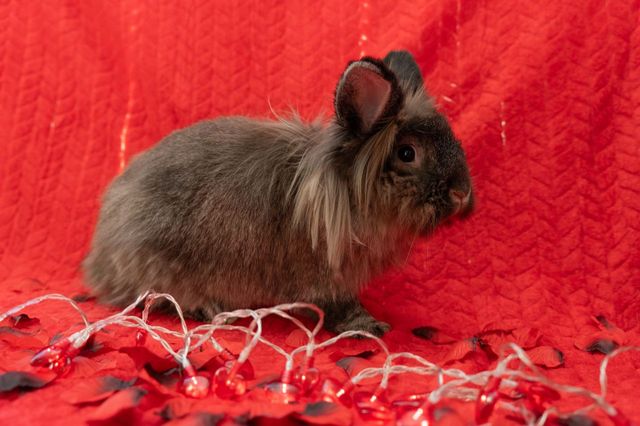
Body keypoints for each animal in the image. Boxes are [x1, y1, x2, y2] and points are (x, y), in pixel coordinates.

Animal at [83, 50, 473, 336]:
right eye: (407, 153)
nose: (462, 194)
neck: (344, 193)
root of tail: (100, 257)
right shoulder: (326, 281)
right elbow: (341, 306)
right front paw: (370, 326)